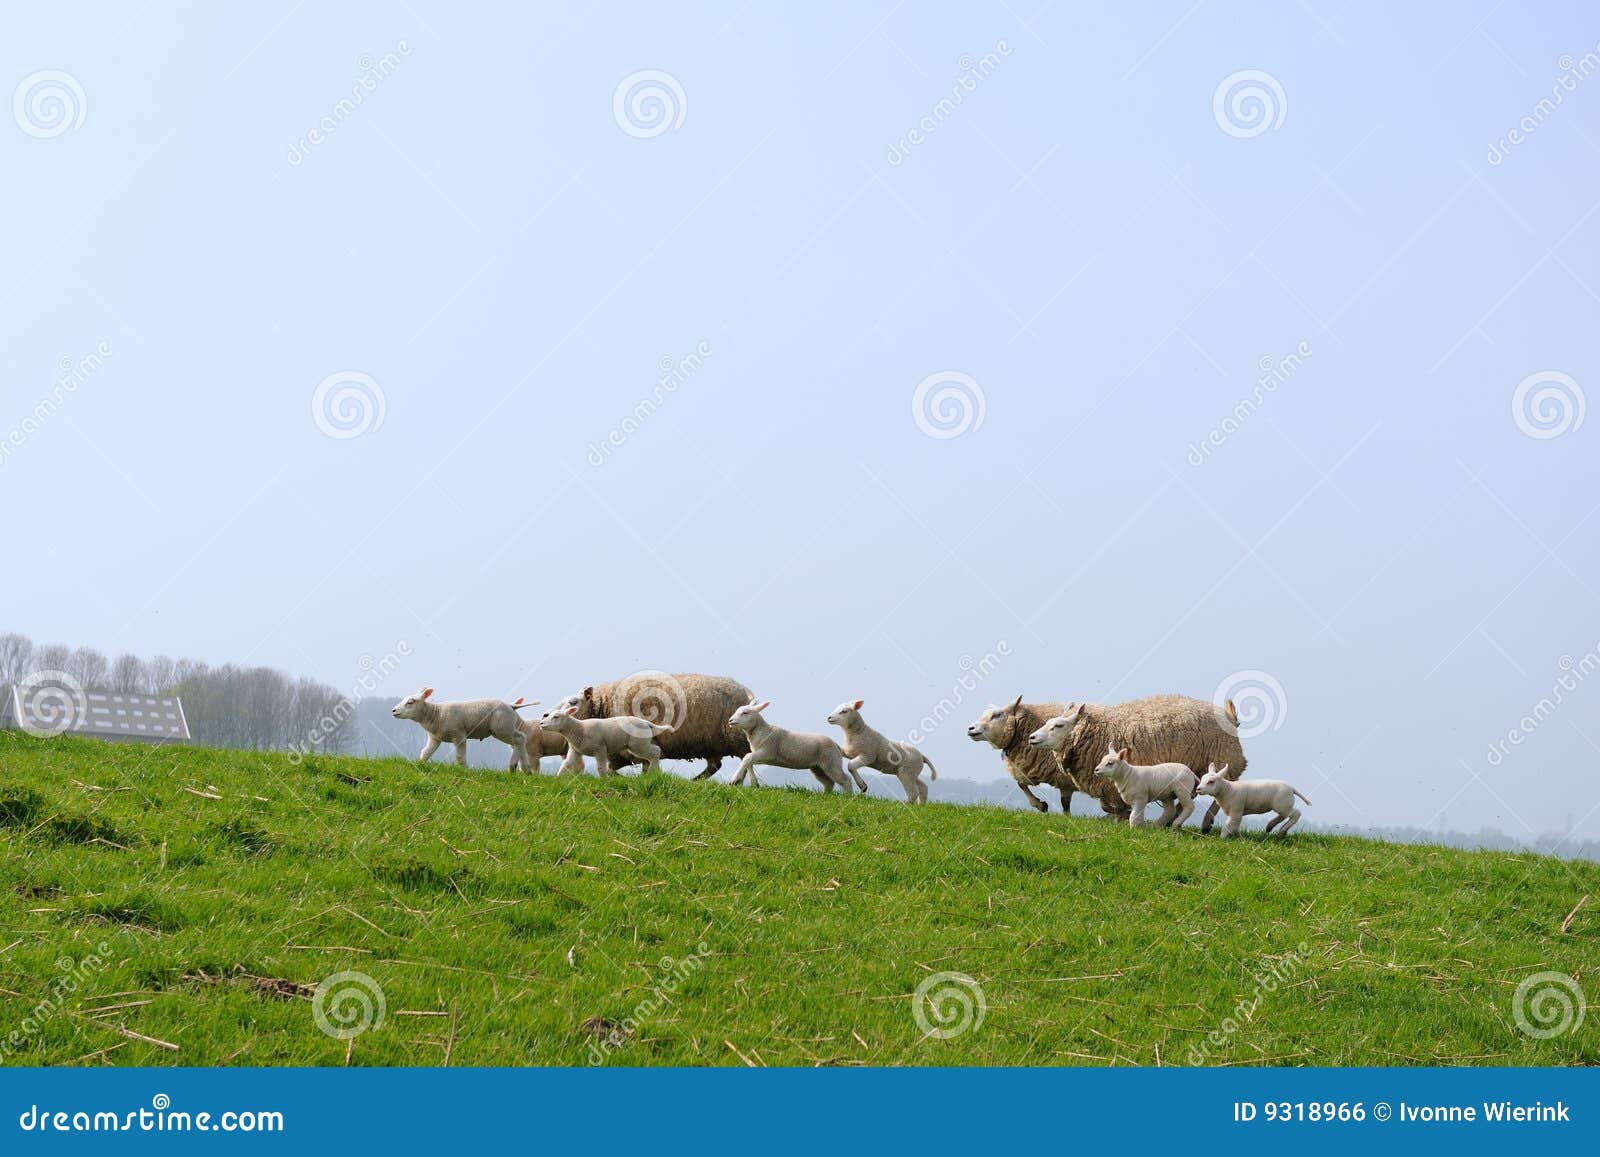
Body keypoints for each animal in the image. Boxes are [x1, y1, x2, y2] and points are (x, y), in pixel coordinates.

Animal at [391, 688, 540, 772]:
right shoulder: (435, 738)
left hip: (502, 728)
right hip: (505, 728)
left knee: (520, 738)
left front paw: (463, 770)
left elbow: (460, 757)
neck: (436, 714)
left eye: (410, 702)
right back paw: (518, 768)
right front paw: (420, 765)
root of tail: (511, 705)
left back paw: (522, 768)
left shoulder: (459, 735)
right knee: (518, 741)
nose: (393, 711)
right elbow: (425, 752)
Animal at [538, 705, 674, 777]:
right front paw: (558, 777)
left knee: (655, 752)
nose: (541, 724)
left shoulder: (600, 749)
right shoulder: (575, 750)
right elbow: (566, 764)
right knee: (654, 752)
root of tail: (646, 722)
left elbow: (600, 767)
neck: (578, 729)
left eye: (556, 717)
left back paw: (653, 772)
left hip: (638, 743)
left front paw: (604, 779)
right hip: (639, 743)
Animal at [554, 673, 754, 780]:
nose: (550, 715)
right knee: (715, 765)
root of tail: (745, 691)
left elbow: (627, 768)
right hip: (712, 743)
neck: (604, 705)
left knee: (746, 760)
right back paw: (696, 781)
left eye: (573, 702)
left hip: (738, 738)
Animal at [726, 700, 856, 793]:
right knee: (828, 783)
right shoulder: (759, 753)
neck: (762, 731)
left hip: (831, 762)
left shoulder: (768, 752)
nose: (730, 720)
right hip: (818, 767)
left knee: (845, 780)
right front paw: (754, 783)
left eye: (745, 712)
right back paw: (826, 796)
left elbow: (747, 758)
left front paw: (734, 780)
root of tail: (836, 745)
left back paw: (847, 796)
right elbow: (748, 760)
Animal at [970, 695, 1247, 825]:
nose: (971, 729)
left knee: (1217, 796)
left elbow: (1085, 804)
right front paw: (1043, 806)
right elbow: (1024, 786)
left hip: (1223, 761)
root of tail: (1229, 716)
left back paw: (1203, 823)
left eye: (997, 714)